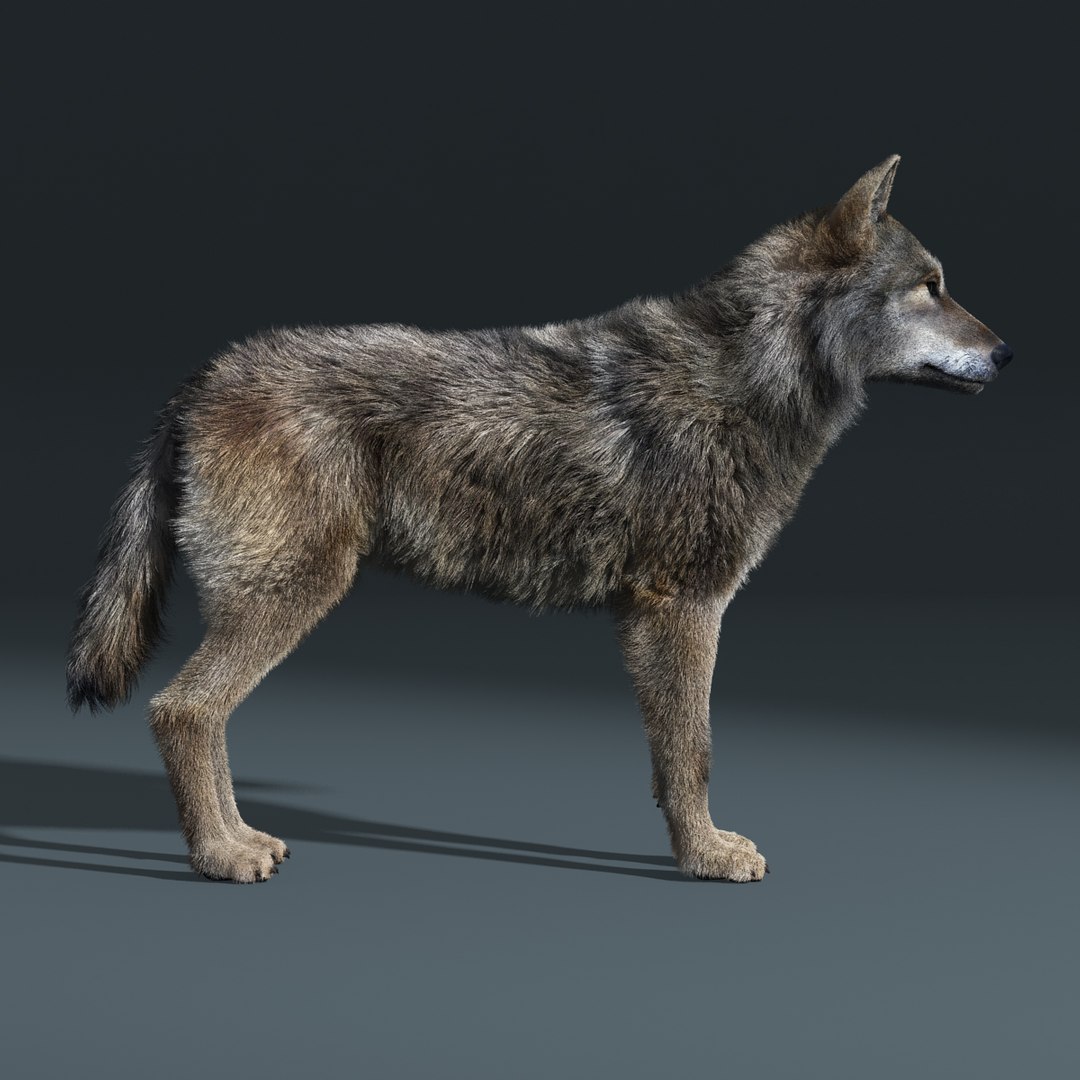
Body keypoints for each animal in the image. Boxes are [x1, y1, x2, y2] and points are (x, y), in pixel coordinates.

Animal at [67, 156, 1012, 884]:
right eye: (930, 287)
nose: (1009, 353)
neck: (748, 375)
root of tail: (199, 382)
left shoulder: (662, 617)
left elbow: (678, 758)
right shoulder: (683, 611)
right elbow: (694, 754)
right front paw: (705, 858)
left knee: (202, 715)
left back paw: (240, 839)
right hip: (290, 596)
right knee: (183, 712)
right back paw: (222, 857)